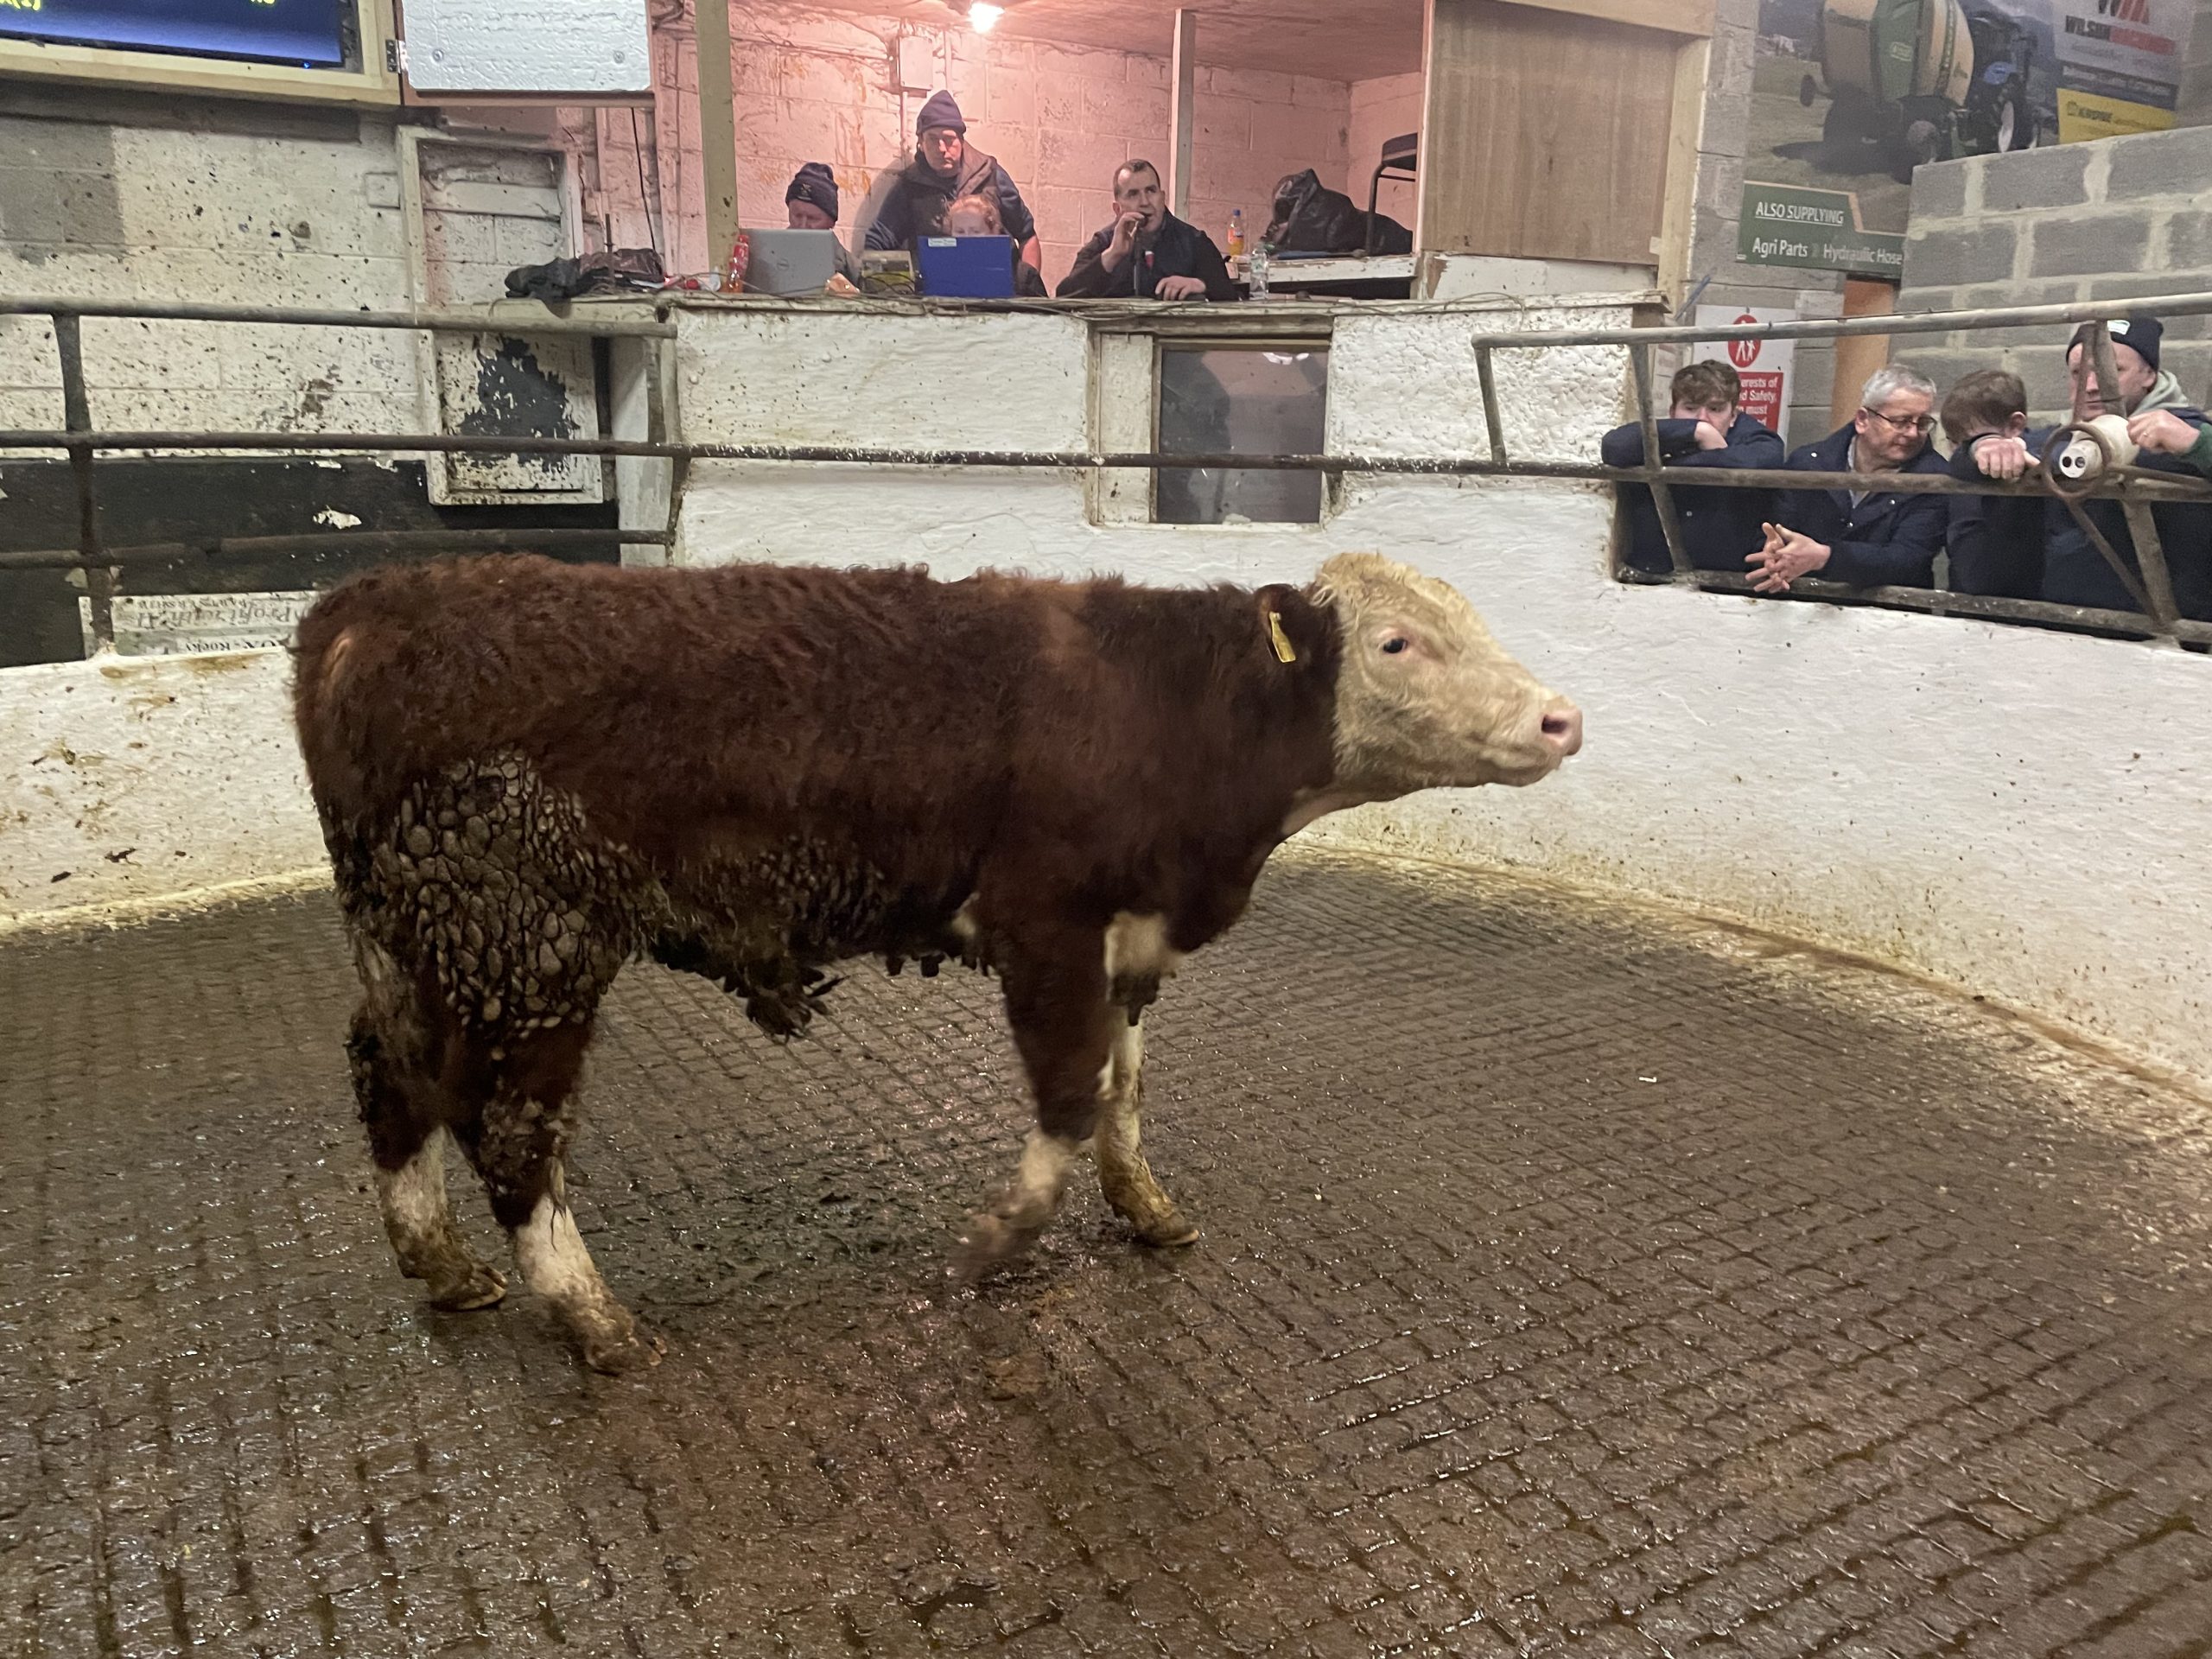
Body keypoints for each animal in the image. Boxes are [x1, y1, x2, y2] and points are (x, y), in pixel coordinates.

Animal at [293, 552, 1581, 1373]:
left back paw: (441, 1261)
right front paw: (997, 1242)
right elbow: (1066, 1099)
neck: (1165, 707)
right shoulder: (1042, 923)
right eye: (1397, 643)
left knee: (390, 1077)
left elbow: (1125, 1089)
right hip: (528, 945)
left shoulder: (1131, 940)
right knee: (512, 1130)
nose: (1562, 717)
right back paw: (593, 1320)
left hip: (417, 941)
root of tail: (366, 608)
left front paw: (1145, 1205)